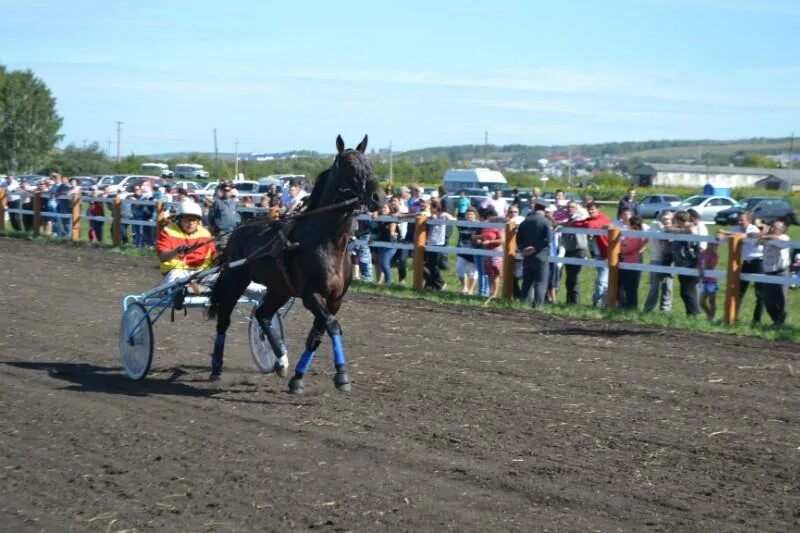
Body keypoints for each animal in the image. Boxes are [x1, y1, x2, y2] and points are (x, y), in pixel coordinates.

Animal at [208, 133, 386, 390]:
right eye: (350, 166)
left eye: (369, 164)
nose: (378, 198)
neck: (327, 242)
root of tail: (239, 228)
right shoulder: (311, 294)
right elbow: (332, 325)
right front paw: (342, 375)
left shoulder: (335, 299)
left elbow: (317, 335)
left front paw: (298, 378)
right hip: (235, 279)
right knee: (224, 319)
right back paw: (216, 368)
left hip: (279, 288)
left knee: (262, 315)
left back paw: (280, 360)